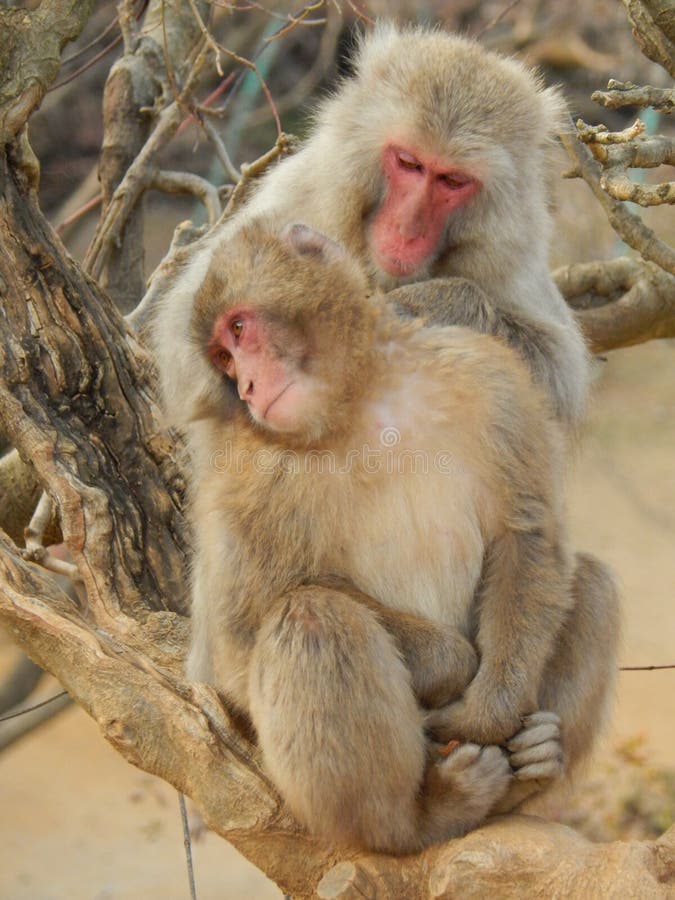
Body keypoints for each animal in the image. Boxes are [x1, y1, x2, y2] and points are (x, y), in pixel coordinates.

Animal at [152, 220, 619, 853]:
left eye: (240, 330)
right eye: (223, 358)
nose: (245, 385)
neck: (361, 398)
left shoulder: (486, 372)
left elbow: (524, 534)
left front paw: (489, 712)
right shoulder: (248, 475)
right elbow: (239, 638)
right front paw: (454, 667)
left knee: (590, 581)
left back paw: (534, 767)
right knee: (312, 618)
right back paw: (422, 816)